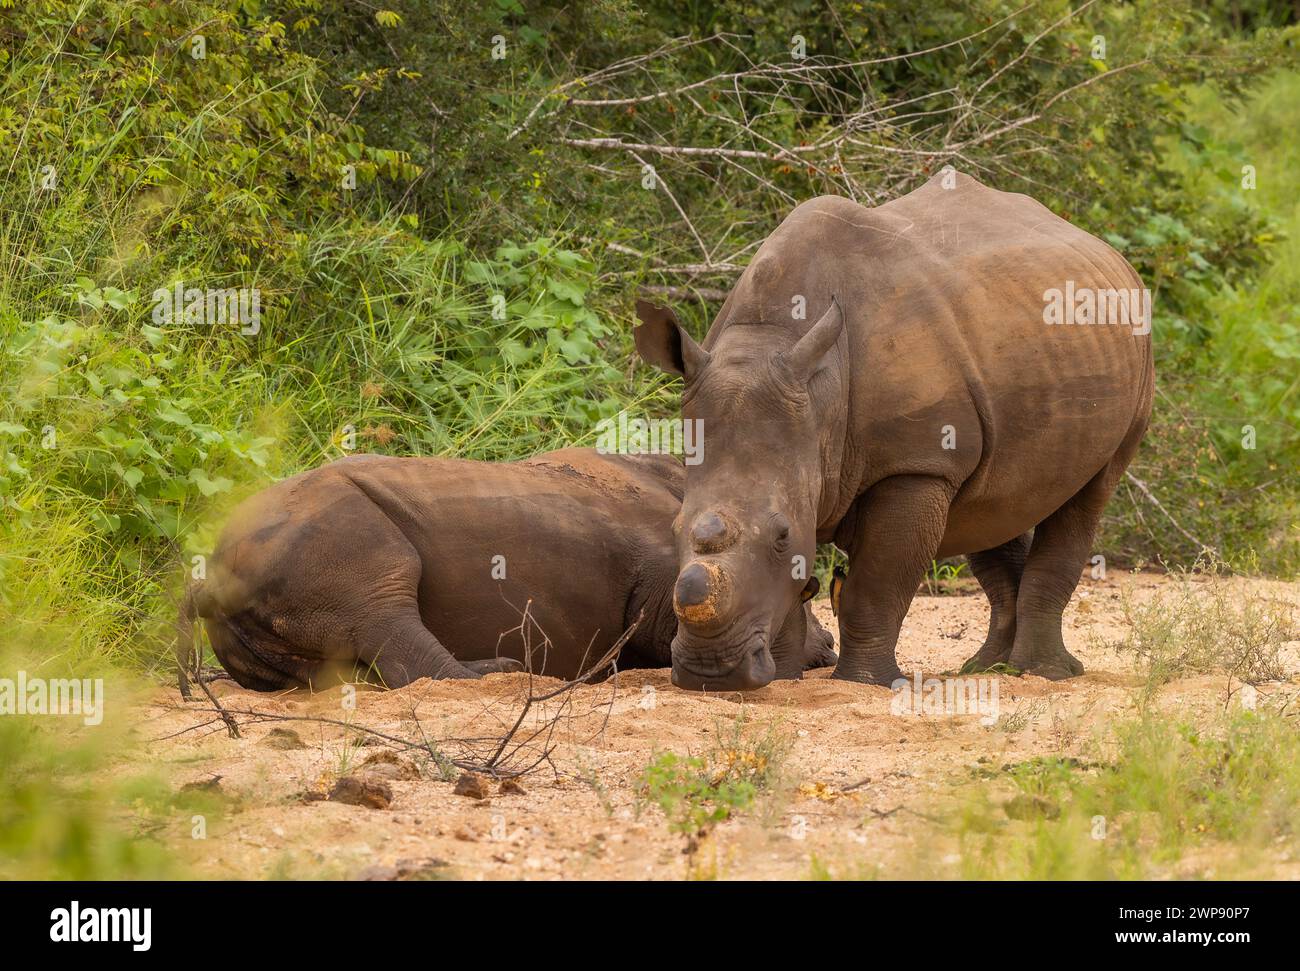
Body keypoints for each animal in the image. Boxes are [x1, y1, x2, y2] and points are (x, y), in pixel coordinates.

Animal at [176, 448, 836, 695]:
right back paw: (503, 672)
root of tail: (212, 579)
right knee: (383, 596)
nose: (828, 645)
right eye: (807, 595)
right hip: (321, 530)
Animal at [634, 173, 1153, 690]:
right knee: (993, 504)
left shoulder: (917, 464)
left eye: (781, 535)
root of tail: (1111, 255)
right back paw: (989, 670)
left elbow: (876, 582)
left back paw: (1044, 674)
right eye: (674, 528)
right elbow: (796, 589)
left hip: (1135, 354)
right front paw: (782, 679)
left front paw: (864, 684)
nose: (709, 673)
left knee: (1090, 491)